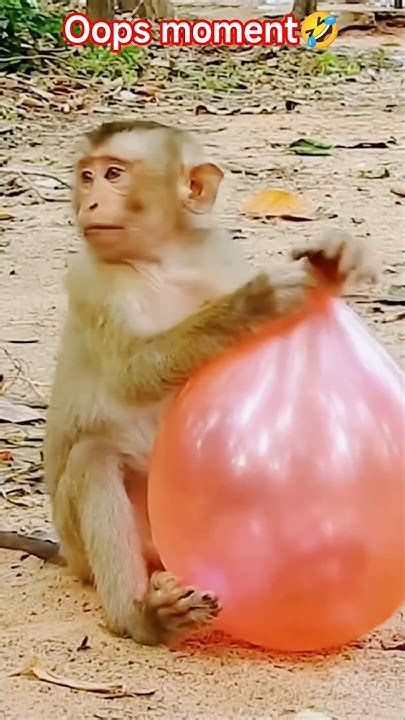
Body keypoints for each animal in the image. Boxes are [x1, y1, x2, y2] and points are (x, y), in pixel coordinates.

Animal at [0, 120, 376, 645]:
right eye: (86, 176)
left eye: (113, 174)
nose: (89, 203)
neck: (162, 259)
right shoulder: (92, 279)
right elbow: (131, 374)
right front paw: (254, 303)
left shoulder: (215, 258)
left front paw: (337, 261)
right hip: (95, 541)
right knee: (94, 457)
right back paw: (142, 617)